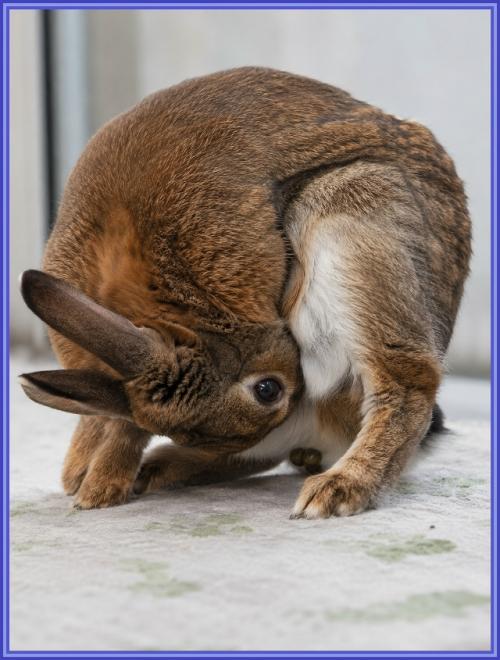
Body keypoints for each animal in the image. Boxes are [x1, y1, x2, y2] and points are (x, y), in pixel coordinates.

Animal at [19, 67, 470, 516]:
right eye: (268, 390)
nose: (291, 395)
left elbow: (127, 423)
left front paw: (98, 489)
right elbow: (120, 416)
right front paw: (92, 484)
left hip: (353, 219)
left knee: (408, 382)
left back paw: (336, 490)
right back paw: (152, 471)